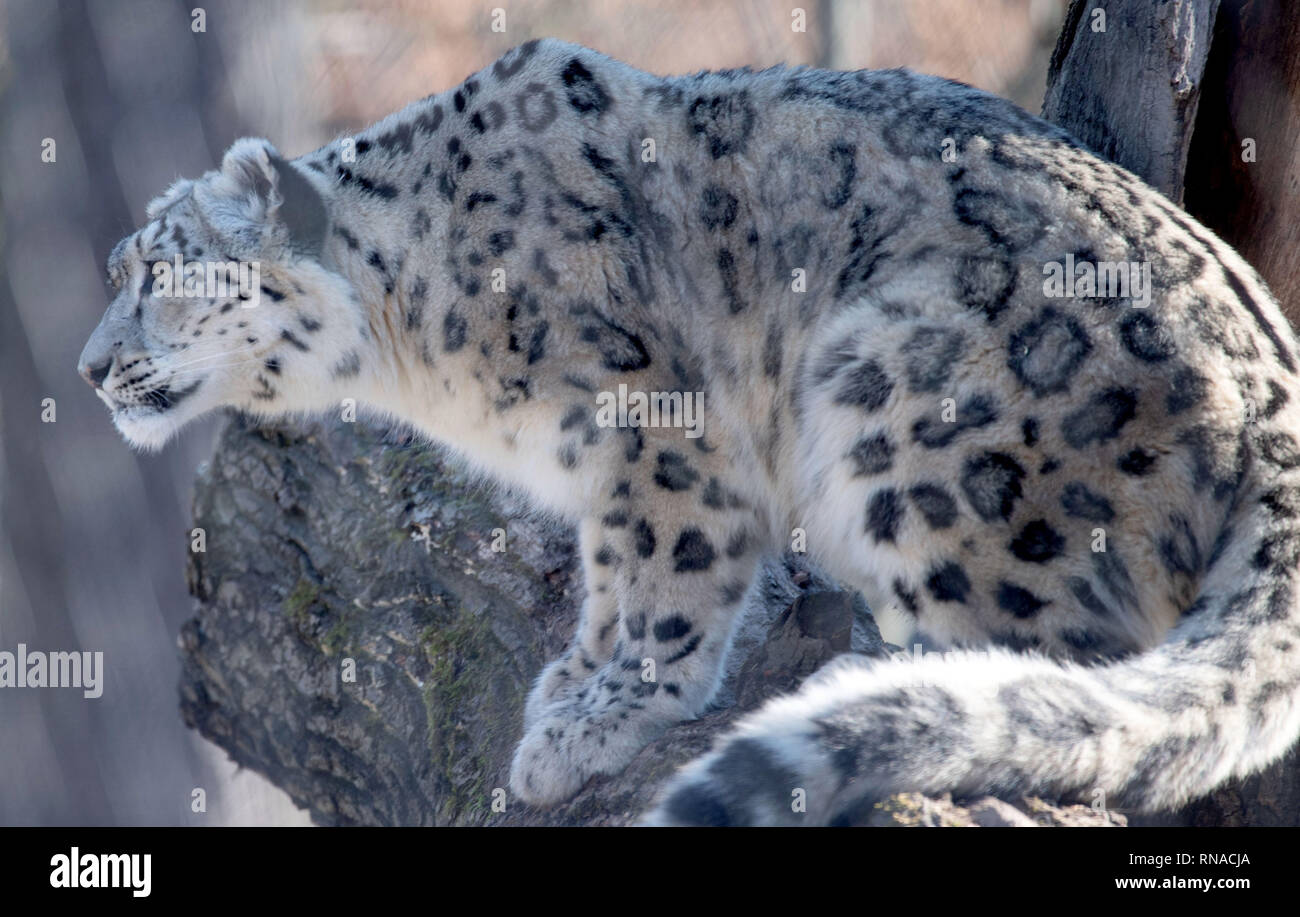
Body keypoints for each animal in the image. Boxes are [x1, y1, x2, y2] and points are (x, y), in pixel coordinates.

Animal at [78, 38, 1300, 825]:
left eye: (158, 273)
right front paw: (572, 677)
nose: (89, 369)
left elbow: (668, 574)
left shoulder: (660, 431)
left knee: (1053, 649)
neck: (419, 348)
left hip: (906, 402)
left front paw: (600, 719)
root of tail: (1273, 390)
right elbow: (605, 569)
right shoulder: (599, 472)